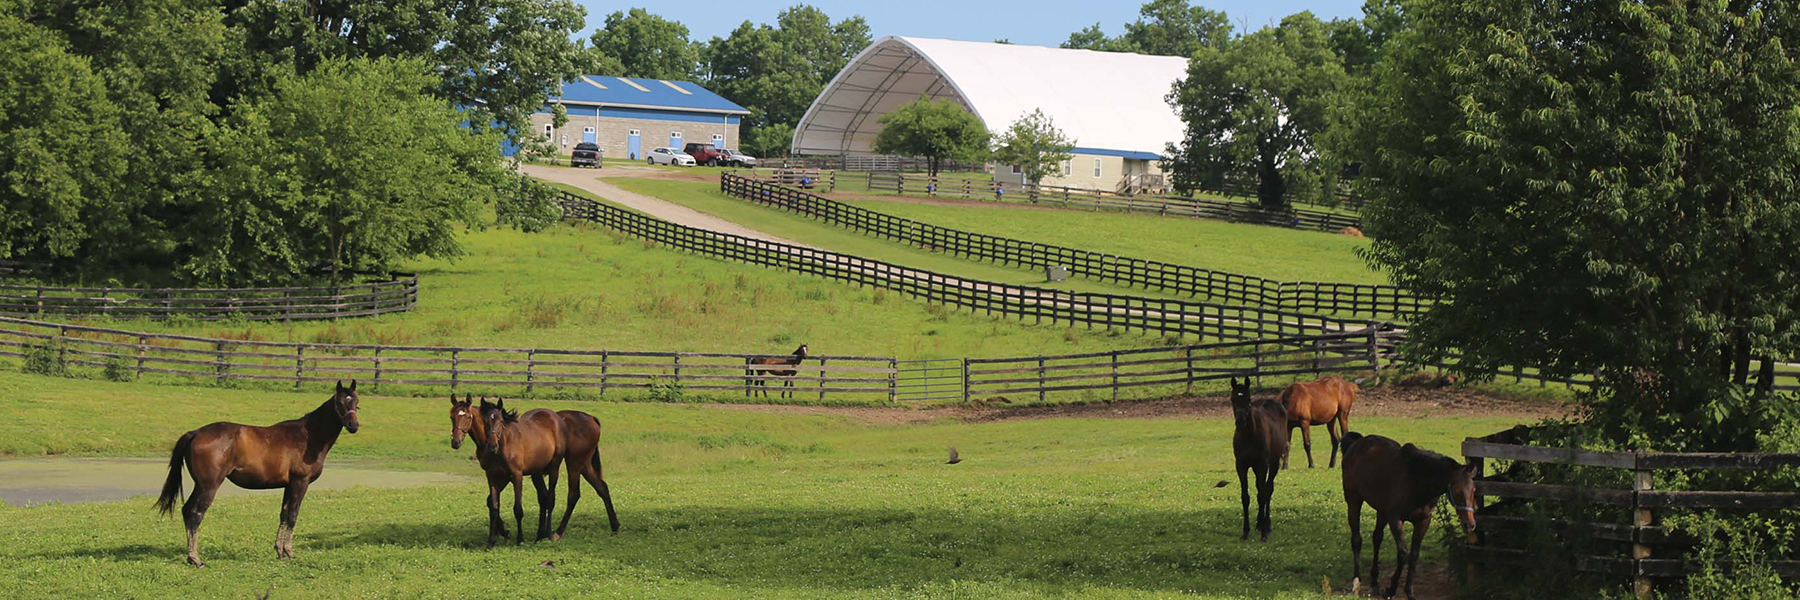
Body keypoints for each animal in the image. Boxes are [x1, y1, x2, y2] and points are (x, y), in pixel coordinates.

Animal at [155, 380, 362, 567]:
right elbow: (293, 515)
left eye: (356, 402)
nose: (353, 425)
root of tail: (196, 433)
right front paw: (290, 552)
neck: (307, 438)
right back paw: (196, 559)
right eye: (340, 403)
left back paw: (191, 557)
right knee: (195, 514)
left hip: (200, 486)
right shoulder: (300, 483)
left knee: (186, 511)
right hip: (209, 486)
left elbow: (284, 514)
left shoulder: (289, 485)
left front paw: (280, 551)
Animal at [451, 396, 619, 543]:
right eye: (451, 417)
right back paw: (614, 526)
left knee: (571, 494)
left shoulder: (512, 475)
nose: (455, 442)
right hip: (582, 464)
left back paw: (556, 532)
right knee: (601, 487)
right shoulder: (497, 474)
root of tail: (591, 418)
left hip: (573, 464)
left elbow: (516, 506)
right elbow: (491, 502)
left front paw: (510, 534)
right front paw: (502, 532)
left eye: (467, 417)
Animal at [1230, 377, 1288, 542]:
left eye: (1248, 400)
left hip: (1273, 463)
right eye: (1232, 399)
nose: (1240, 422)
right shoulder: (1241, 465)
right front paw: (1245, 531)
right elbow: (1246, 497)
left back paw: (1266, 525)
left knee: (1268, 489)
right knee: (1260, 489)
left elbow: (1263, 494)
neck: (1249, 435)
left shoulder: (1262, 465)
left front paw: (1264, 533)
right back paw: (1259, 523)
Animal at [1341, 432, 1479, 600]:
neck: (1417, 481)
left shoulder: (1423, 521)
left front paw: (1409, 592)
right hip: (1354, 500)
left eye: (1473, 490)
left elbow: (1413, 555)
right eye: (1457, 491)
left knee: (1377, 538)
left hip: (1381, 511)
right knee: (1356, 540)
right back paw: (1356, 583)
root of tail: (1357, 442)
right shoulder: (1395, 518)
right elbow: (1402, 554)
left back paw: (1374, 582)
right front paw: (1391, 589)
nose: (1470, 524)